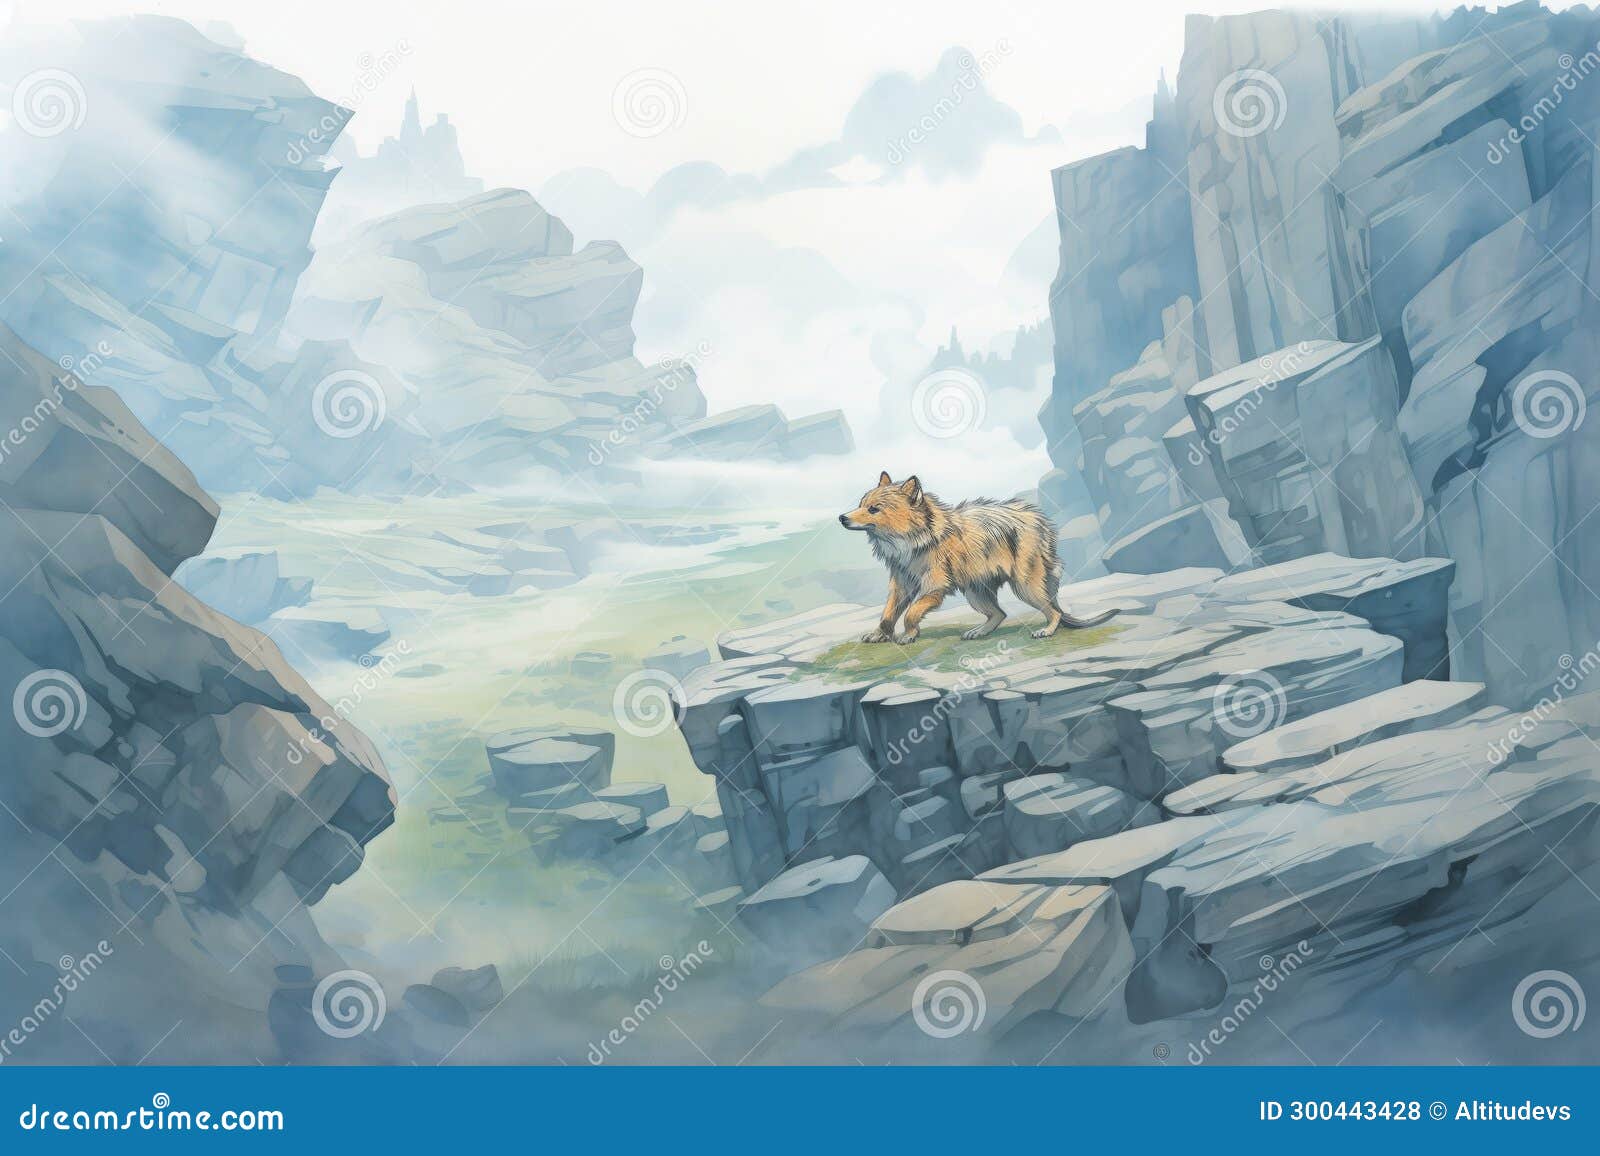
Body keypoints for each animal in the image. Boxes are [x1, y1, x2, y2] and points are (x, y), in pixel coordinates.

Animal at [839, 472, 1117, 644]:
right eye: (861, 503)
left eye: (873, 509)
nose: (842, 517)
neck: (915, 538)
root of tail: (1041, 524)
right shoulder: (901, 585)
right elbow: (888, 613)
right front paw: (880, 635)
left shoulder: (933, 586)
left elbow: (911, 613)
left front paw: (908, 635)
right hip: (976, 592)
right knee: (999, 614)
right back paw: (978, 632)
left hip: (1025, 586)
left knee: (1054, 611)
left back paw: (1046, 630)